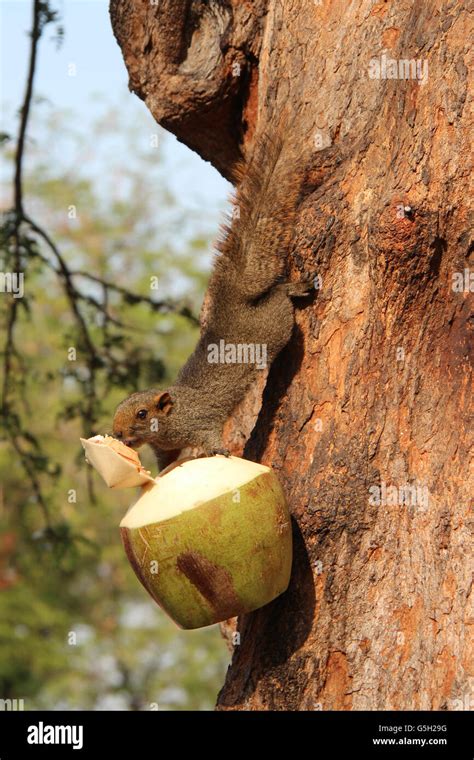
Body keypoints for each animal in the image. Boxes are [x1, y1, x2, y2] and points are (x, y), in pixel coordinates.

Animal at [112, 125, 312, 470]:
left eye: (142, 413)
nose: (117, 433)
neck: (173, 418)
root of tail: (233, 301)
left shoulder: (200, 423)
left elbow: (210, 437)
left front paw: (219, 451)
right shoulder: (164, 447)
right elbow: (166, 460)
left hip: (274, 325)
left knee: (277, 298)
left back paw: (291, 289)